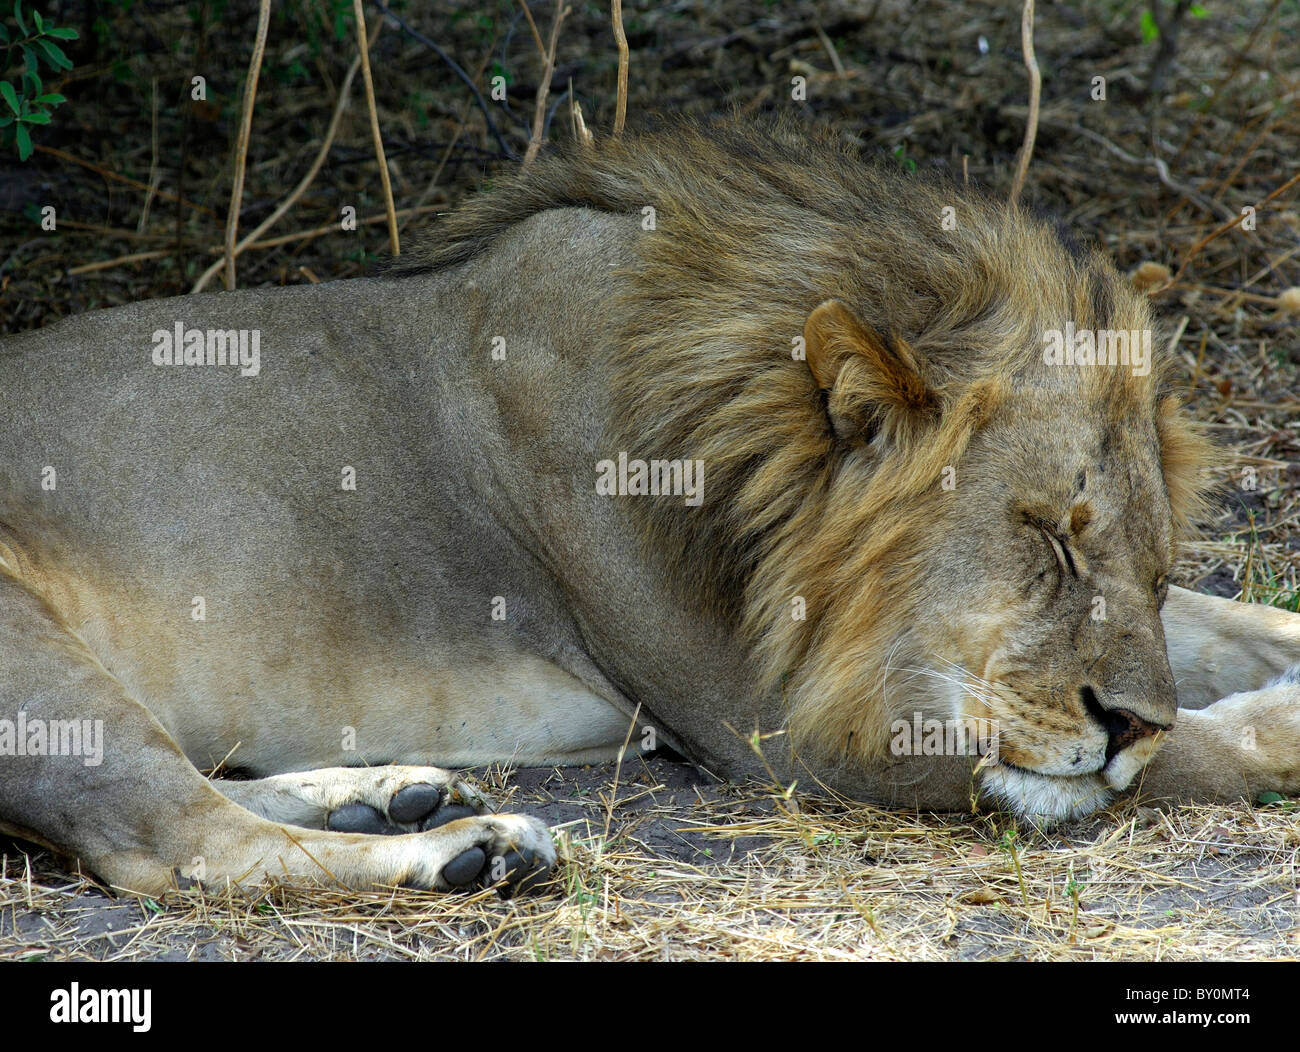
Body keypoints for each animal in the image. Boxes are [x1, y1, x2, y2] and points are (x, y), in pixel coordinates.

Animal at [1, 119, 1298, 896]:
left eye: (1150, 564)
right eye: (1041, 536)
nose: (1125, 718)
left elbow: (1236, 625)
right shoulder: (784, 730)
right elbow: (1196, 750)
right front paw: (1253, 727)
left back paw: (394, 789)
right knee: (173, 845)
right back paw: (462, 848)